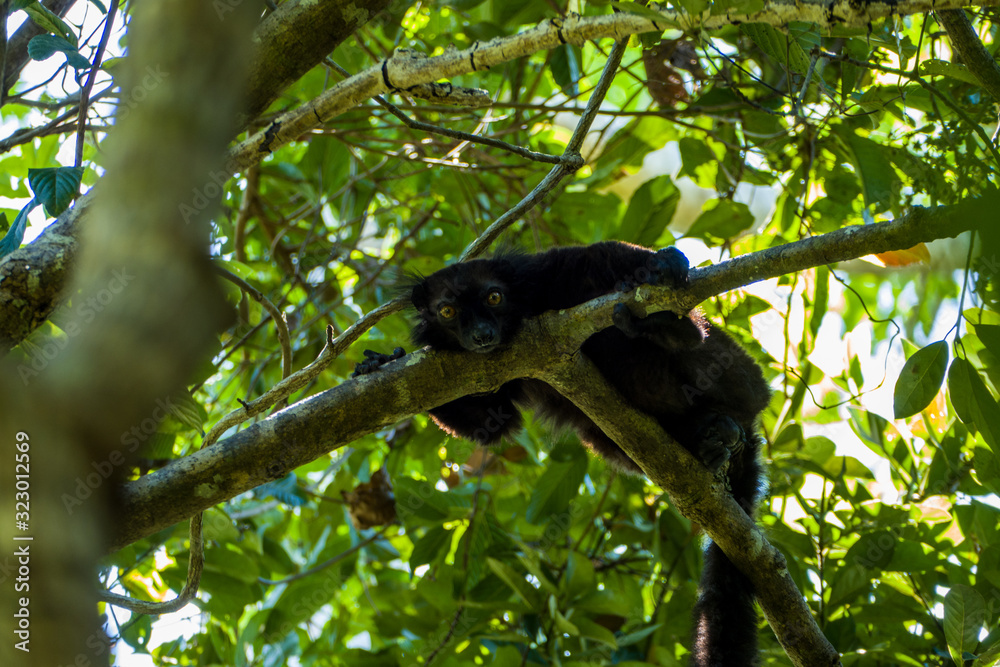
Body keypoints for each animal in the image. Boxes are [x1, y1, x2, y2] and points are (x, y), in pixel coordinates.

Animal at [355, 241, 770, 666]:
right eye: (448, 311)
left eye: (494, 297)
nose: (483, 335)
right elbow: (494, 421)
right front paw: (381, 362)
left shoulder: (544, 275)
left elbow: (596, 256)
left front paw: (665, 263)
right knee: (605, 432)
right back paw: (708, 438)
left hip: (737, 372)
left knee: (697, 348)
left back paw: (674, 333)